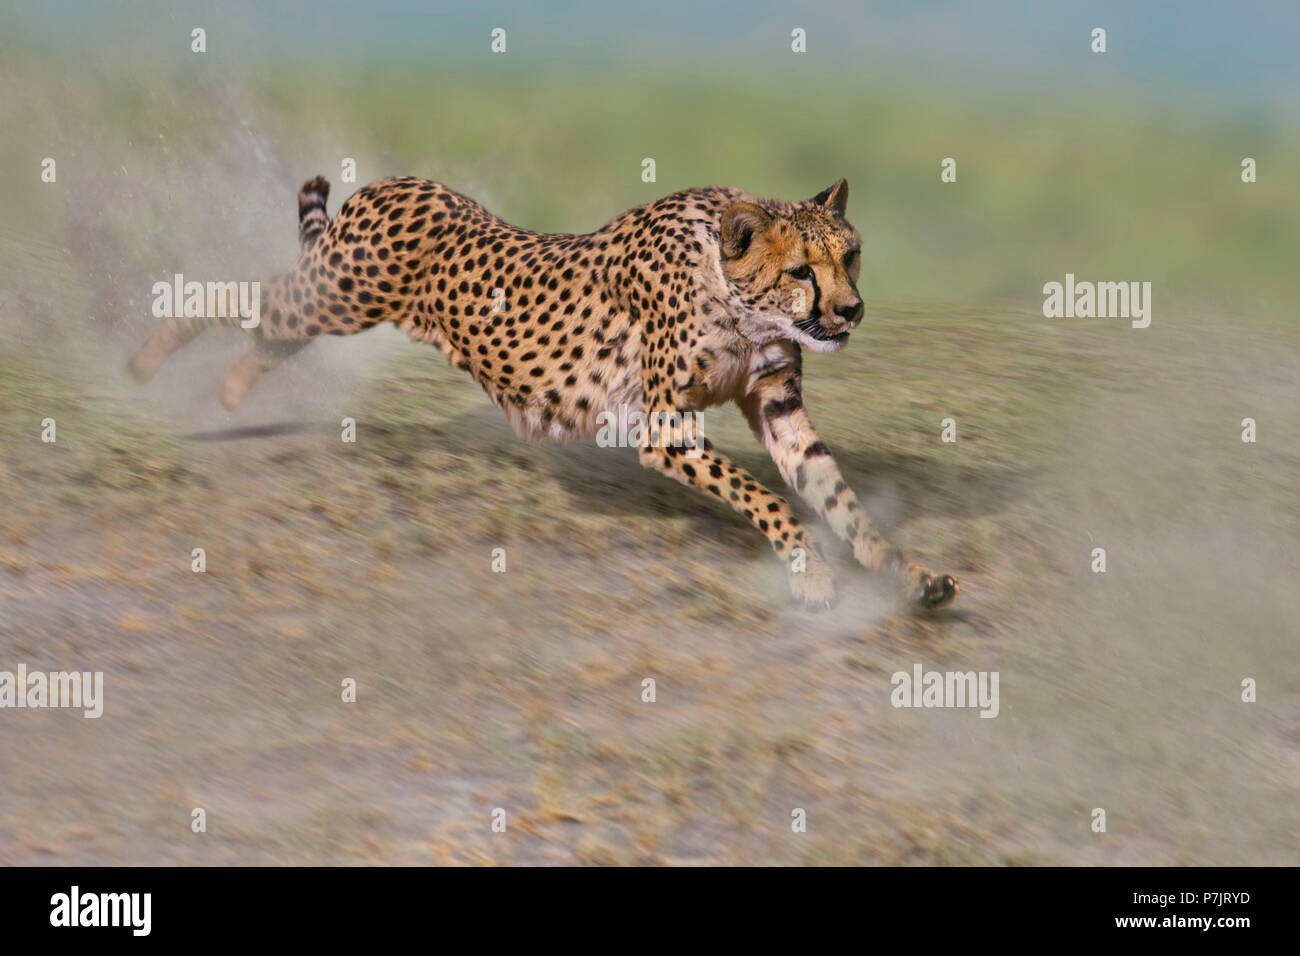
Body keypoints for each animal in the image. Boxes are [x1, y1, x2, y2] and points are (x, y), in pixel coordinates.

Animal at [128, 174, 959, 610]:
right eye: (801, 271)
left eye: (851, 256)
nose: (850, 311)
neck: (739, 295)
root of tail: (392, 183)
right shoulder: (661, 429)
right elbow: (768, 498)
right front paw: (811, 574)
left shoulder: (779, 407)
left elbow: (839, 499)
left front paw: (907, 575)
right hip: (334, 294)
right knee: (244, 295)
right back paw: (144, 360)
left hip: (336, 304)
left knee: (268, 331)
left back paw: (230, 389)